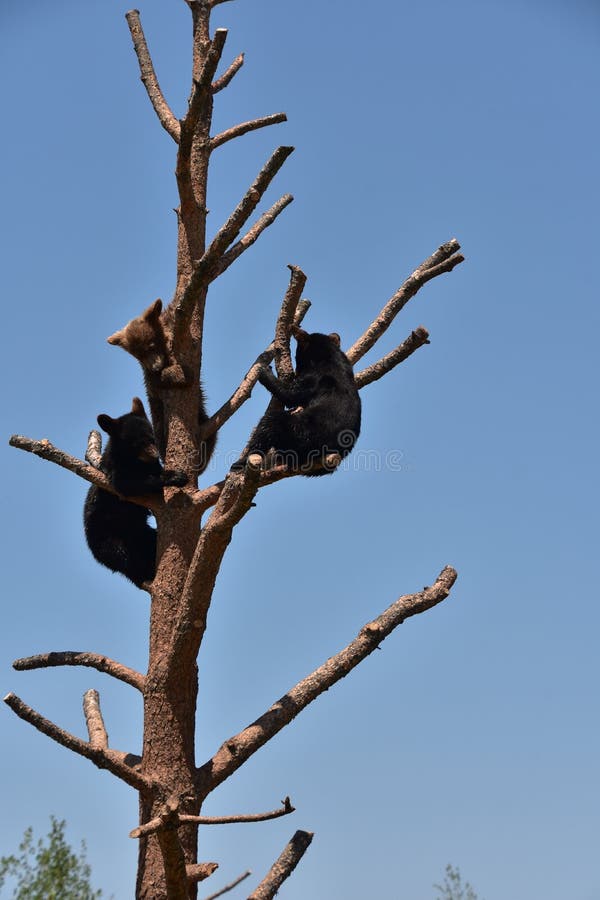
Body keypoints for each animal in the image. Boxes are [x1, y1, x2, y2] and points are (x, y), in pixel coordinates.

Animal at [83, 397, 187, 589]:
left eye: (152, 438)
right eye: (136, 443)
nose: (155, 455)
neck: (137, 462)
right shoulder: (115, 472)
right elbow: (128, 485)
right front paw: (174, 476)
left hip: (143, 534)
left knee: (150, 541)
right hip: (108, 539)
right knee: (123, 558)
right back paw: (145, 576)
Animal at [107, 299, 216, 473]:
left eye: (150, 345)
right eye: (138, 355)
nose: (155, 366)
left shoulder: (170, 322)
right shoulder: (149, 377)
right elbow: (158, 380)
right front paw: (182, 373)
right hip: (157, 416)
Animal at [233, 327, 361, 476]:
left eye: (297, 357)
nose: (296, 372)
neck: (330, 357)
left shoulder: (313, 379)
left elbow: (289, 394)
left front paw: (263, 370)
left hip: (300, 435)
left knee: (270, 424)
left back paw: (241, 462)